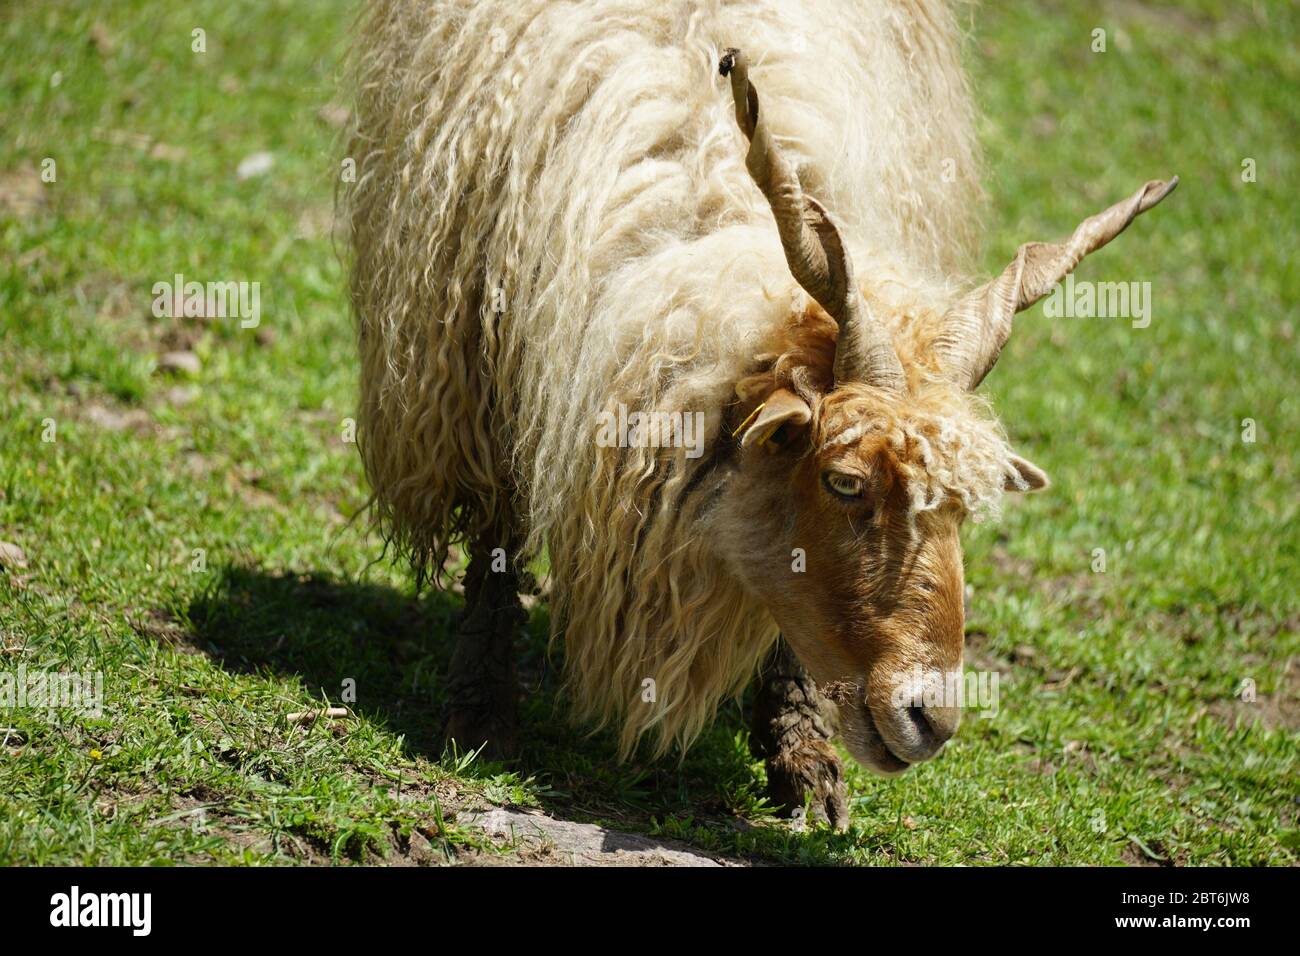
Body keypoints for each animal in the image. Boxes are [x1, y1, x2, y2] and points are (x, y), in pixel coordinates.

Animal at [345, 0, 1175, 828]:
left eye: (963, 511)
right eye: (844, 483)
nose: (932, 720)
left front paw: (801, 756)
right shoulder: (475, 371)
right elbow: (497, 535)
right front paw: (481, 713)